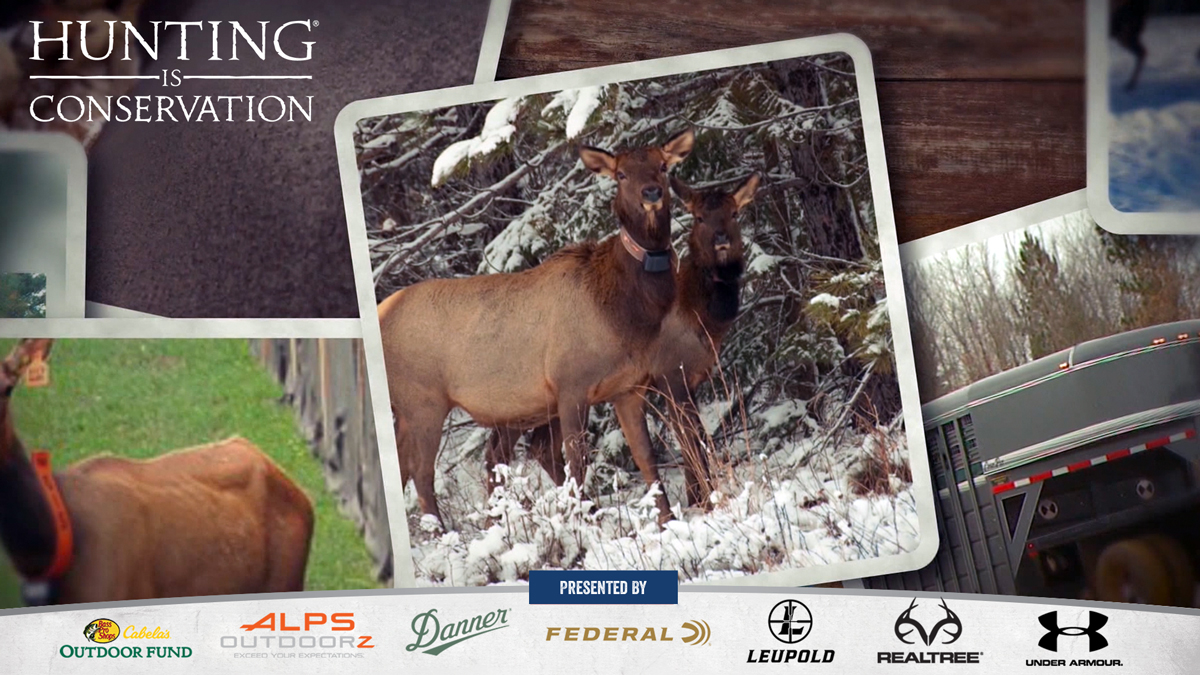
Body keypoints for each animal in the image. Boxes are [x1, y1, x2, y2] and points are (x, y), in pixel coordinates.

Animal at [377, 128, 696, 525]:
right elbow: (577, 462)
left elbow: (646, 457)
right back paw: (441, 531)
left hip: (419, 408)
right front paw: (579, 520)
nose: (651, 192)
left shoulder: (629, 387)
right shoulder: (571, 384)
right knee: (422, 472)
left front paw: (667, 520)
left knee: (407, 466)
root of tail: (380, 313)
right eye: (621, 174)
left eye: (663, 166)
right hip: (423, 400)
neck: (624, 315)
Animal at [486, 173, 760, 521]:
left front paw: (696, 499)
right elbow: (692, 438)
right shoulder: (669, 374)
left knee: (534, 448)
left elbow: (691, 439)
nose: (721, 238)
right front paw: (706, 501)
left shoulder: (688, 379)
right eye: (699, 217)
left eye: (734, 213)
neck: (700, 318)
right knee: (501, 451)